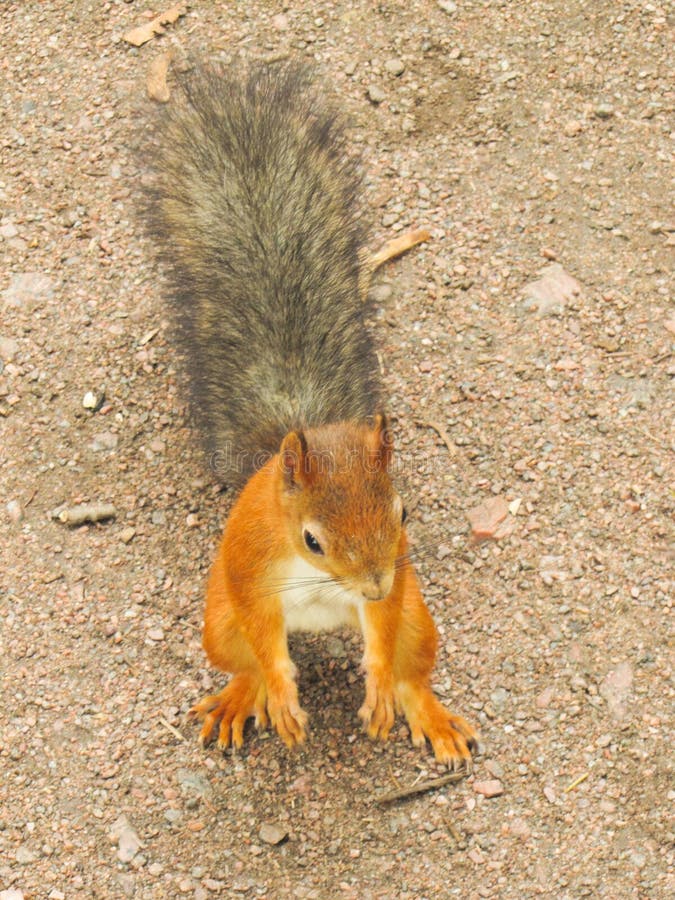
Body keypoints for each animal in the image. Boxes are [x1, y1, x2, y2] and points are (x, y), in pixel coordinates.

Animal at [146, 63, 478, 767]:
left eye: (404, 512)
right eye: (312, 540)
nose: (372, 585)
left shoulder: (395, 579)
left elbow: (382, 639)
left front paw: (377, 684)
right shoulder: (248, 572)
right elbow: (266, 644)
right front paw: (281, 694)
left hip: (419, 616)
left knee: (411, 667)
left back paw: (425, 711)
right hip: (216, 622)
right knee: (242, 658)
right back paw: (242, 697)